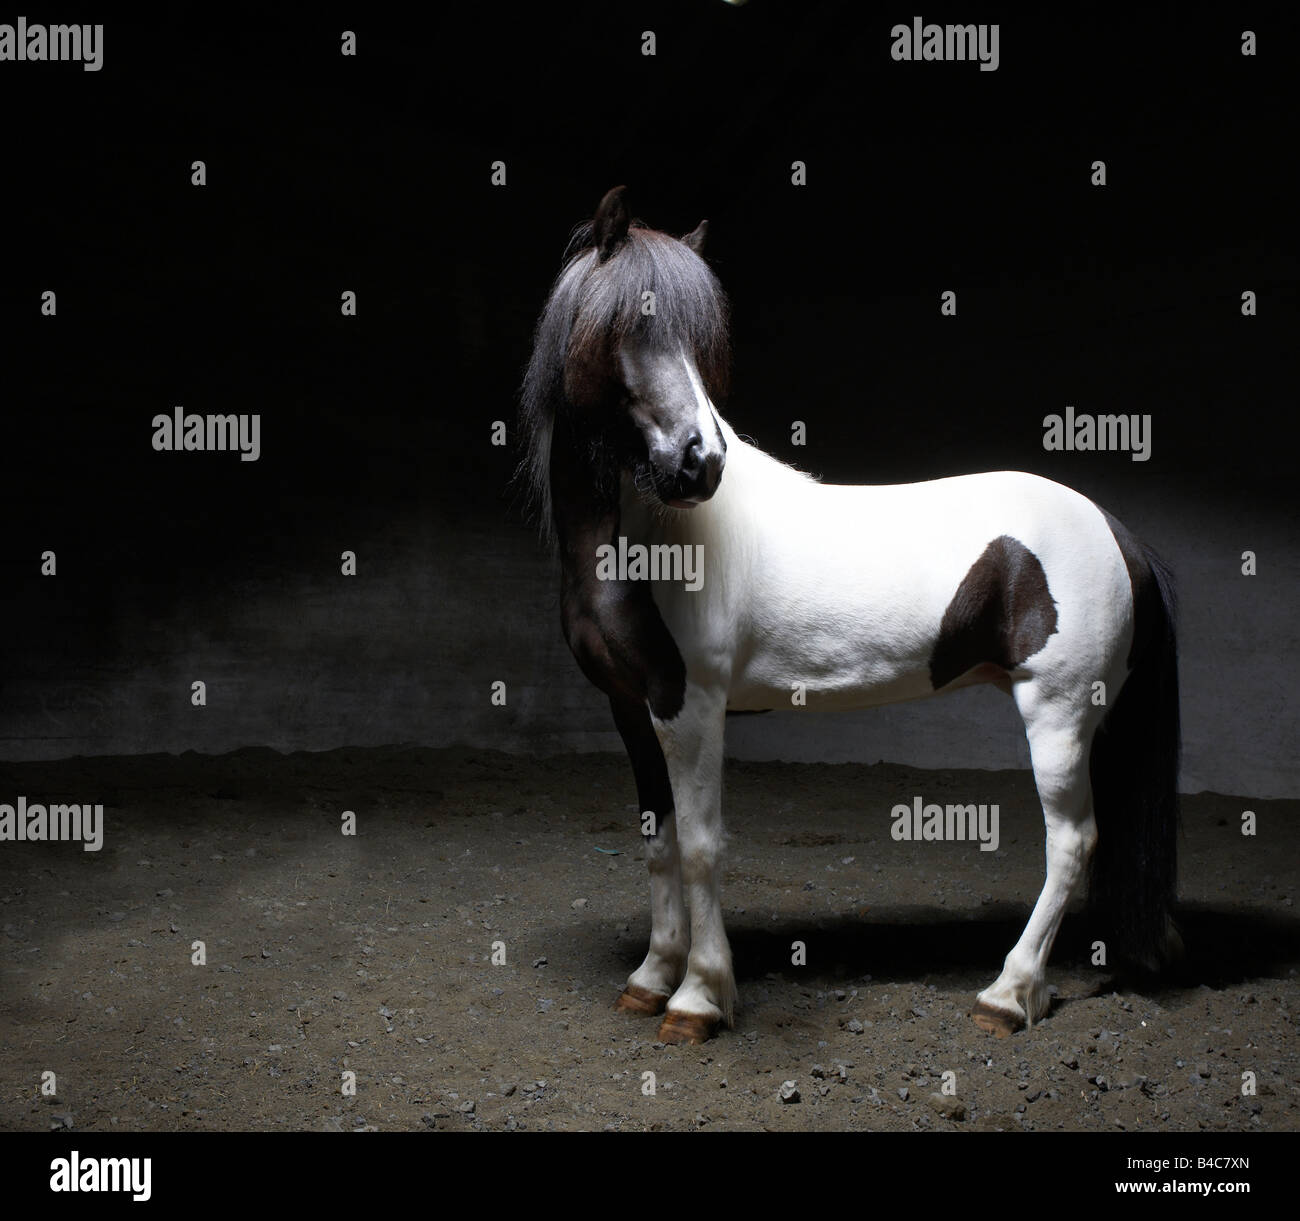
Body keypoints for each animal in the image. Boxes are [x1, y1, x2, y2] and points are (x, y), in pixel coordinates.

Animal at [518, 185, 1181, 1044]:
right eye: (628, 326)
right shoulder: (632, 706)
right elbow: (658, 842)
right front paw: (651, 977)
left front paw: (699, 996)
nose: (701, 463)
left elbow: (698, 845)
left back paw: (1008, 992)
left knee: (1072, 841)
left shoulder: (690, 705)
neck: (644, 542)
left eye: (698, 341)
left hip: (1059, 714)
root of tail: (1116, 530)